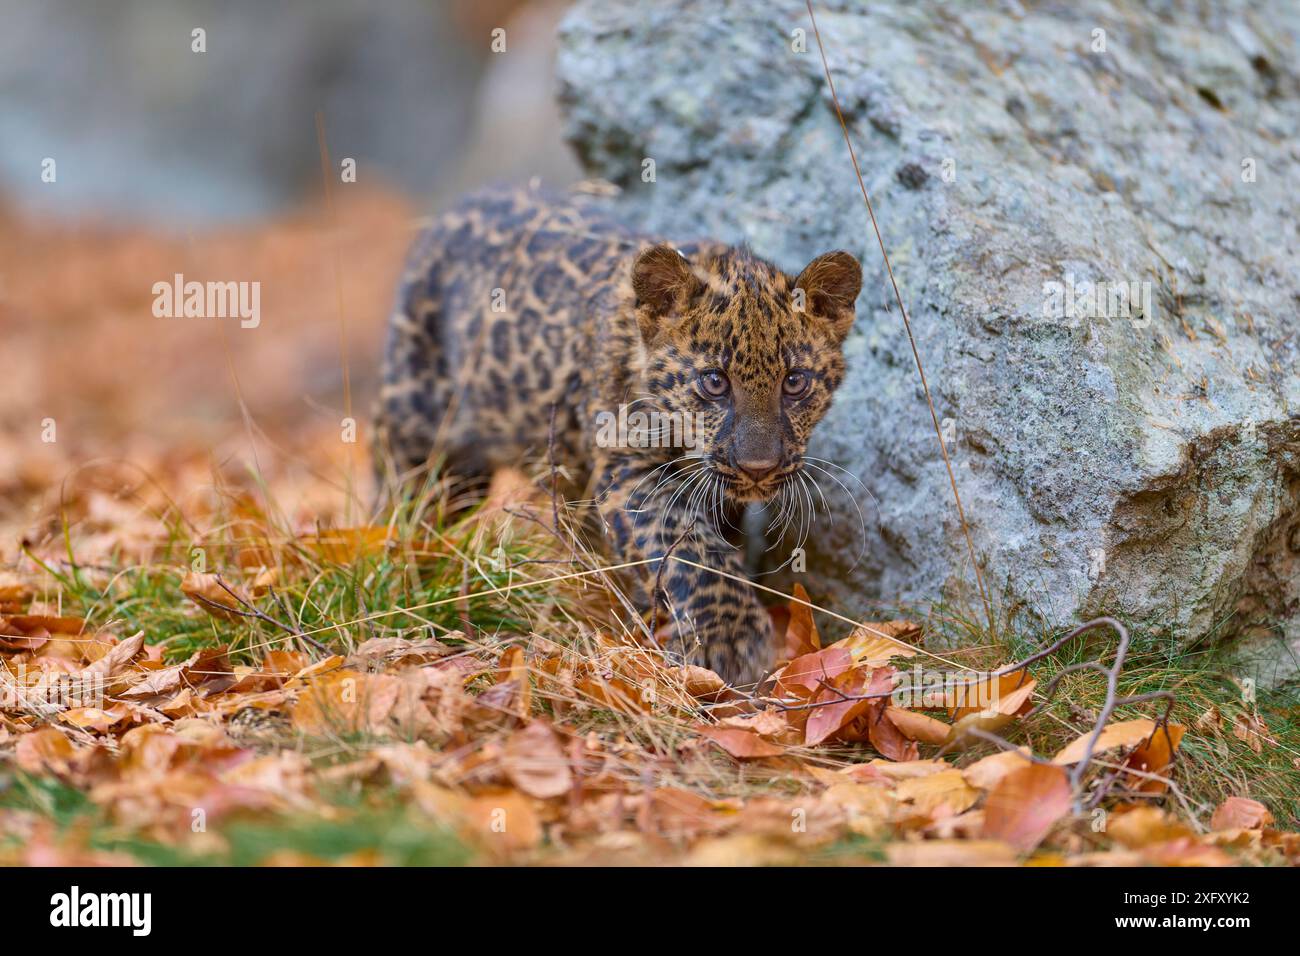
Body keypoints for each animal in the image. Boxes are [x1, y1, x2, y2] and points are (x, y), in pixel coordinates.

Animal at [374, 184, 861, 687]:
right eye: (714, 381)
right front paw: (730, 638)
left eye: (795, 382)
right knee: (408, 486)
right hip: (418, 419)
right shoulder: (627, 471)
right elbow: (693, 549)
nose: (758, 467)